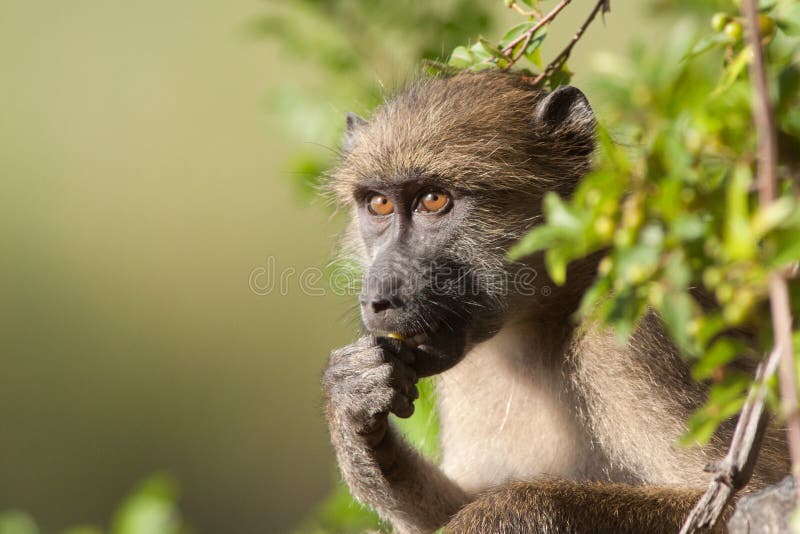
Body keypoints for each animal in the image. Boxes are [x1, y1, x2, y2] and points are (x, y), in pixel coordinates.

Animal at [320, 72, 789, 533]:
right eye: (379, 204)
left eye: (433, 200)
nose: (380, 299)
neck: (553, 312)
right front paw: (353, 402)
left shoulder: (638, 339)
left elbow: (740, 498)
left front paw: (500, 512)